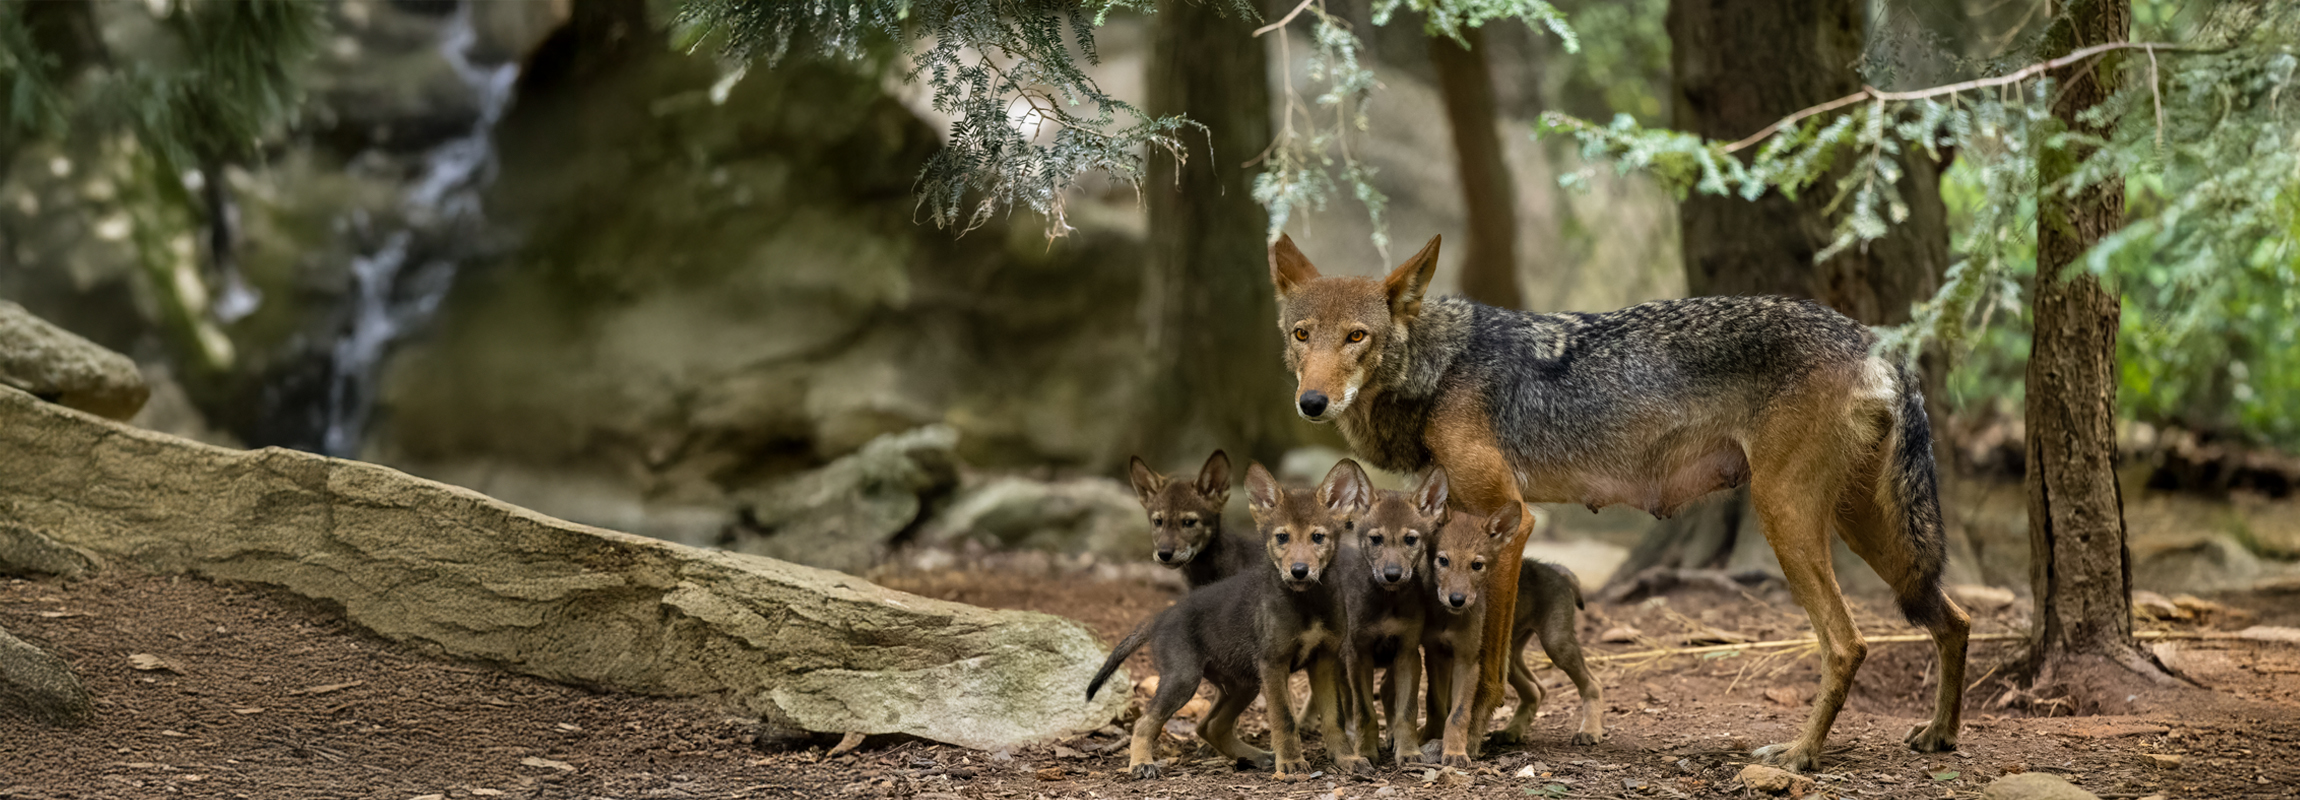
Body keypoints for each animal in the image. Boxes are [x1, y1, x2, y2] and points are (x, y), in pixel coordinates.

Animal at [1086, 459, 1373, 779]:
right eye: (1282, 537)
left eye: (1318, 537)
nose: (1299, 571)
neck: (1307, 603)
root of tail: (1162, 615)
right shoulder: (1273, 663)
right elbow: (1284, 719)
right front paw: (1290, 764)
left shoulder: (1323, 660)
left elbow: (1335, 718)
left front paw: (1346, 759)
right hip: (1185, 678)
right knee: (1145, 721)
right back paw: (1141, 764)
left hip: (1243, 683)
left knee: (1209, 726)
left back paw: (1257, 757)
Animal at [1266, 233, 1968, 772]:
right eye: (1302, 335)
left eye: (1356, 336)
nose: (1311, 402)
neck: (1441, 370)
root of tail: (1874, 340)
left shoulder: (1509, 520)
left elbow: (1487, 664)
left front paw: (1467, 741)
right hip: (1864, 531)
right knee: (1954, 619)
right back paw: (1939, 735)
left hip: (1787, 521)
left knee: (1848, 644)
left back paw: (1800, 755)